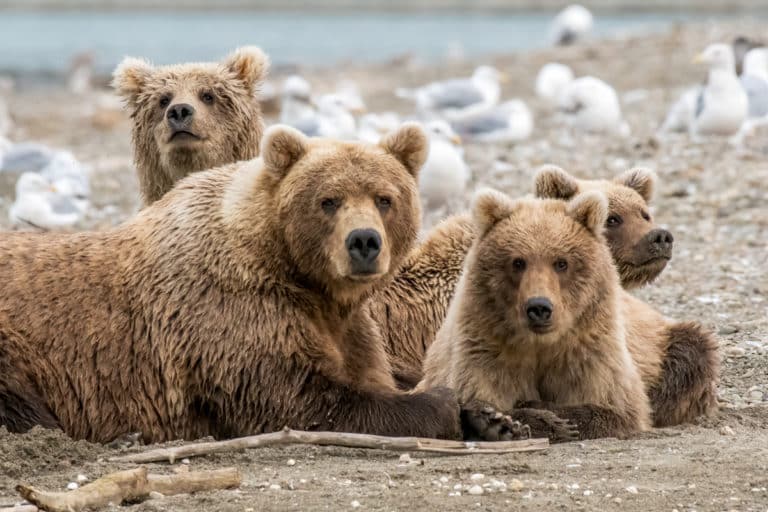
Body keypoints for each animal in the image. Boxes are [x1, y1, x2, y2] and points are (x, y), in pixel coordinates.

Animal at [0, 124, 527, 444]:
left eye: (384, 198)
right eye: (328, 200)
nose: (364, 241)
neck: (305, 279)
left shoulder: (347, 325)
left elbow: (369, 370)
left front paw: (494, 419)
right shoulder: (231, 314)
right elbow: (302, 398)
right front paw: (444, 405)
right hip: (18, 345)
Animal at [419, 189, 653, 440]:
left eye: (561, 263)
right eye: (518, 262)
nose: (539, 307)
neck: (540, 343)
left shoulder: (589, 354)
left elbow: (613, 410)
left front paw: (556, 418)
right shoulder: (485, 350)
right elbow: (482, 392)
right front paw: (499, 421)